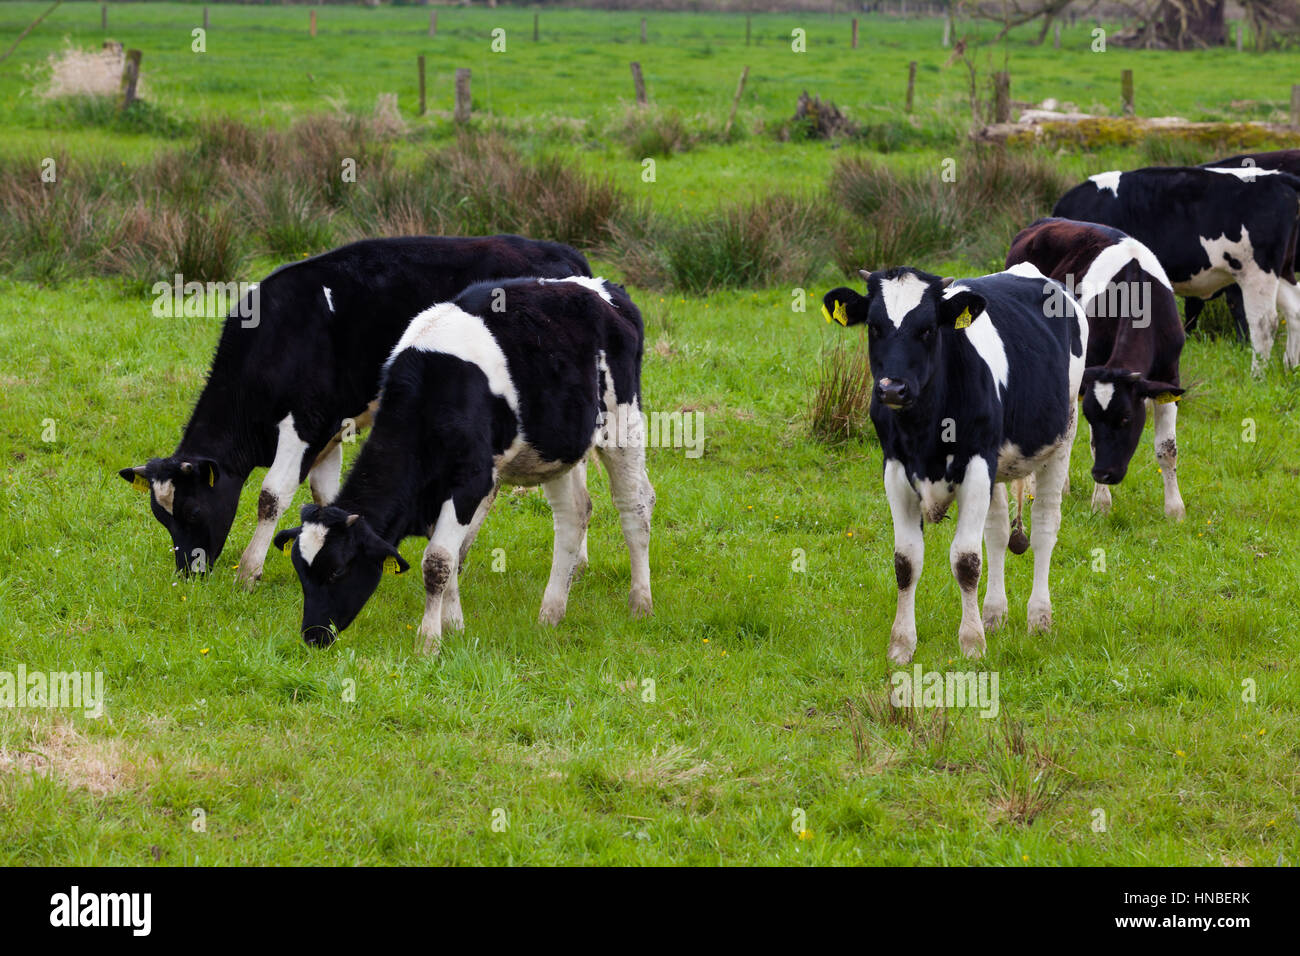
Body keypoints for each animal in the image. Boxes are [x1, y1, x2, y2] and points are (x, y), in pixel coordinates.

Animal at [118, 235, 590, 585]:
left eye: (193, 511)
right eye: (162, 519)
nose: (188, 573)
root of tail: (567, 253)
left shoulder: (305, 423)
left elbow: (271, 496)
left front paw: (249, 572)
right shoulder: (330, 430)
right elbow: (323, 494)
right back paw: (573, 560)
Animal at [273, 276, 654, 653]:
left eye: (337, 571)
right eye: (301, 572)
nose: (313, 635)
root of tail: (603, 287)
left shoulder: (470, 482)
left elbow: (437, 562)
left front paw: (428, 641)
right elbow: (451, 556)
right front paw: (453, 626)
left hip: (622, 425)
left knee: (634, 508)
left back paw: (640, 604)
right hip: (556, 449)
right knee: (573, 516)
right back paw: (551, 614)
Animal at [821, 264, 1087, 664]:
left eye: (928, 328)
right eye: (874, 326)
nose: (892, 389)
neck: (923, 428)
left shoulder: (976, 465)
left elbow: (966, 560)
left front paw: (972, 644)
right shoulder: (895, 469)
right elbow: (906, 562)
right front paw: (901, 645)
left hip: (1062, 439)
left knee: (1044, 527)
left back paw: (1039, 619)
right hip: (1000, 466)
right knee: (996, 533)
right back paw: (994, 614)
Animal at [1006, 218, 1186, 520]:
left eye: (1126, 418)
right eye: (1092, 416)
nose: (1103, 474)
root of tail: (1042, 222)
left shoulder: (1169, 376)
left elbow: (1167, 448)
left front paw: (1174, 510)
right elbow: (1090, 442)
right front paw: (1101, 503)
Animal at [1053, 166, 1300, 374]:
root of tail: (1279, 178)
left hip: (1257, 272)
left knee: (1264, 322)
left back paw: (1258, 374)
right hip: (1283, 270)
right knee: (1294, 310)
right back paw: (1290, 366)